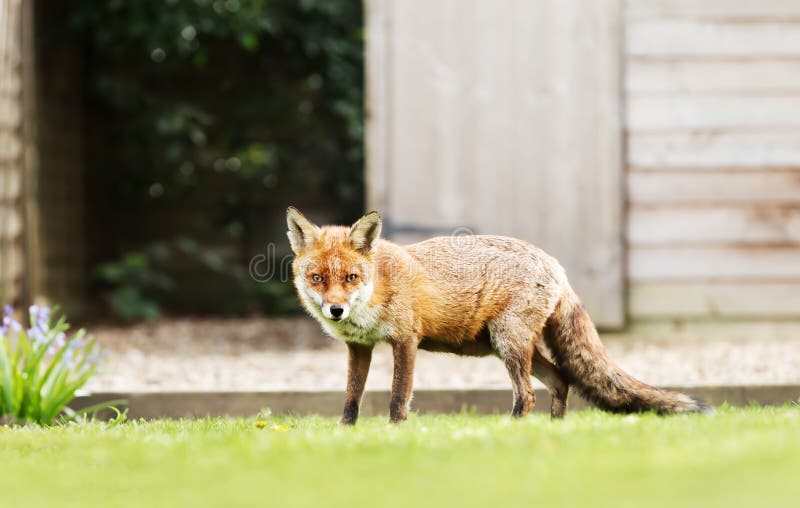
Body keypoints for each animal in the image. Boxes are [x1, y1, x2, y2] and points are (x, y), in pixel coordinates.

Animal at [287, 207, 709, 424]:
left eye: (351, 277)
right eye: (318, 278)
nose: (336, 310)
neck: (379, 287)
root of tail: (554, 263)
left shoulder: (406, 340)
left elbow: (397, 398)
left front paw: (393, 435)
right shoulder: (359, 348)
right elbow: (351, 399)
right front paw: (346, 435)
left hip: (508, 344)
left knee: (527, 395)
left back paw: (511, 434)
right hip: (510, 346)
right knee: (561, 382)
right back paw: (555, 432)